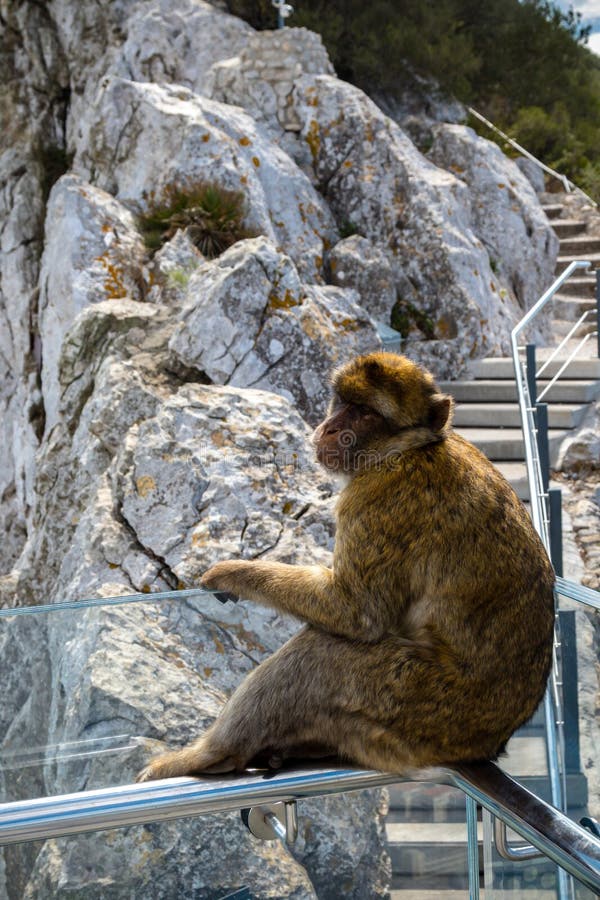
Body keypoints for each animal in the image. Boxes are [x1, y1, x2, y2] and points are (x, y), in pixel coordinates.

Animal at [137, 352, 555, 782]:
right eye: (342, 402)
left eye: (366, 412)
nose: (331, 427)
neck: (410, 449)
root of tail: (487, 744)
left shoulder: (379, 499)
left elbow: (357, 613)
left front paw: (234, 573)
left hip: (415, 705)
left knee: (323, 652)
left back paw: (216, 754)